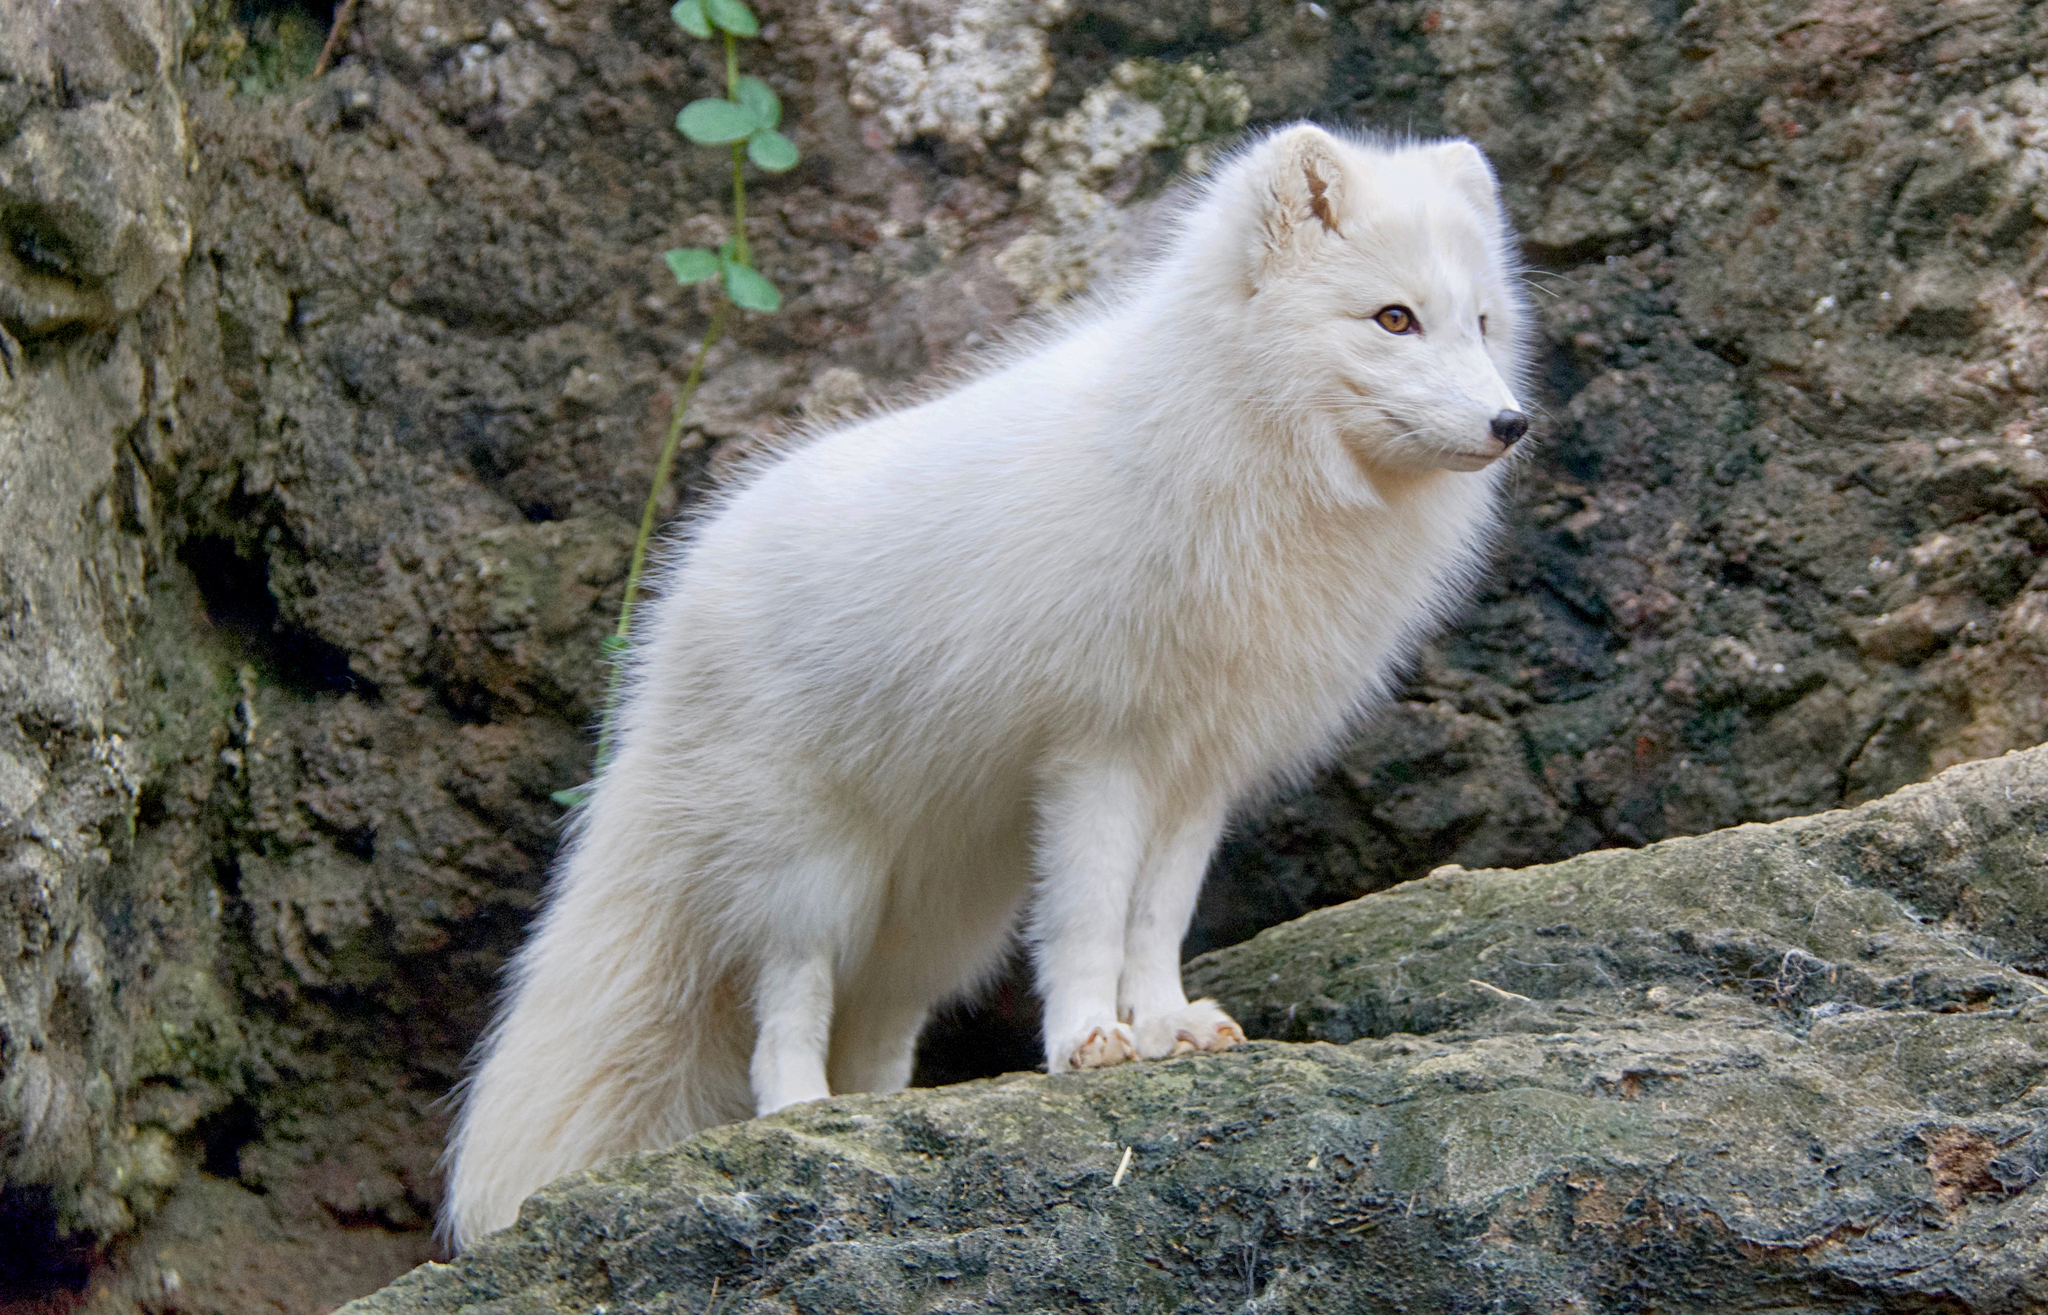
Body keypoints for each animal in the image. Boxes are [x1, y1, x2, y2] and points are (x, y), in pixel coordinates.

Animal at [440, 122, 1534, 1248]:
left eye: (1482, 323)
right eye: (1393, 318)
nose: (1512, 423)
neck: (1242, 450)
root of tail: (669, 614)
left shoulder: (1201, 768)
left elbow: (1157, 918)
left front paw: (1167, 1023)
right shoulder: (1102, 750)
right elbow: (1090, 914)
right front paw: (1091, 1038)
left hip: (935, 913)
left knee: (877, 1025)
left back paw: (882, 1115)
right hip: (813, 875)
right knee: (782, 1003)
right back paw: (798, 1115)